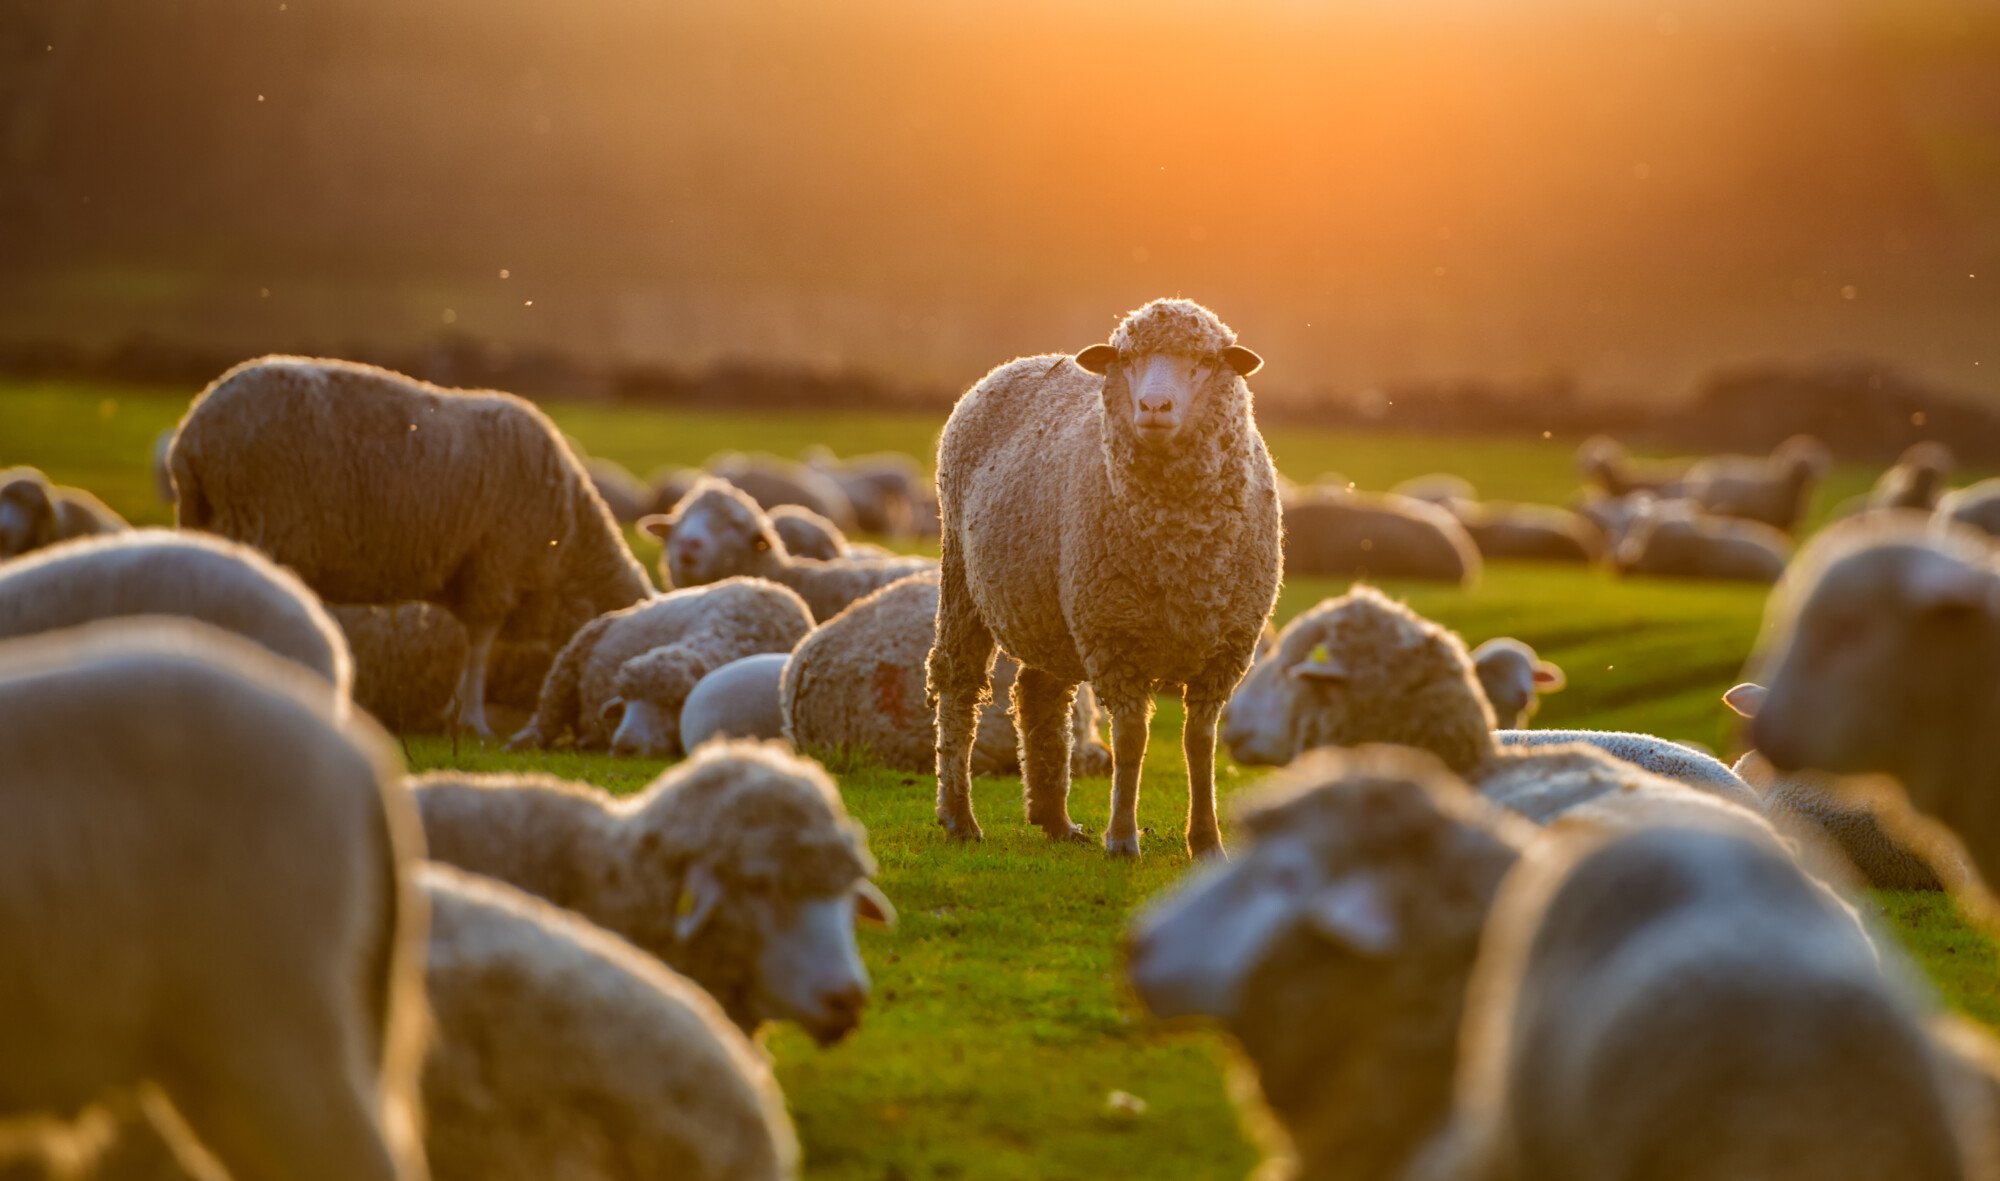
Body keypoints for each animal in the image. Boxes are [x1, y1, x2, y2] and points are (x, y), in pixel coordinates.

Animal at [169, 355, 653, 737]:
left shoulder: (473, 571)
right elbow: (480, 647)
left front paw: (453, 714)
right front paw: (471, 720)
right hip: (259, 520)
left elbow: (470, 644)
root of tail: (194, 432)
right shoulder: (495, 564)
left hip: (204, 520)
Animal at [505, 576, 813, 757]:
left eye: (672, 702)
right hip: (565, 665)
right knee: (546, 715)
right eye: (626, 701)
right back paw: (522, 741)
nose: (624, 746)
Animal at [930, 298, 1283, 857]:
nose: (1155, 407)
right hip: (962, 578)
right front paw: (1121, 839)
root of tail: (1019, 363)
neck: (1181, 541)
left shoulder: (1224, 651)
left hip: (1052, 609)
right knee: (957, 685)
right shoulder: (1116, 636)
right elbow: (1132, 739)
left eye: (1206, 360)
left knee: (1040, 692)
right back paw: (959, 817)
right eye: (1127, 359)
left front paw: (1206, 840)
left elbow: (1199, 743)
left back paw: (1054, 819)